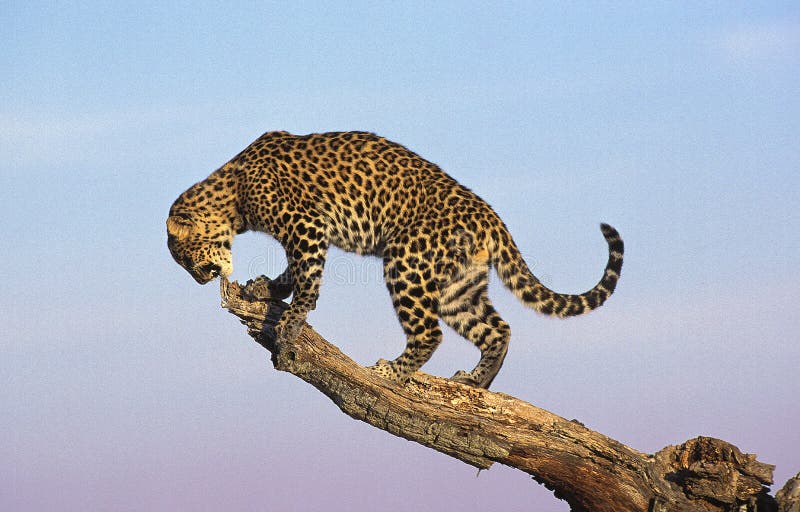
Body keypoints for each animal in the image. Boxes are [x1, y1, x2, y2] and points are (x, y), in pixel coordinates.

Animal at [167, 131, 623, 389]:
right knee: (498, 329)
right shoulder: (306, 231)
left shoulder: (306, 225)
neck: (231, 196)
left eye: (184, 259)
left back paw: (391, 374)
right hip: (458, 286)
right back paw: (477, 382)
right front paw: (266, 289)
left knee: (430, 333)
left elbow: (306, 275)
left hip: (406, 261)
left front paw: (292, 320)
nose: (200, 281)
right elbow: (293, 272)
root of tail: (493, 219)